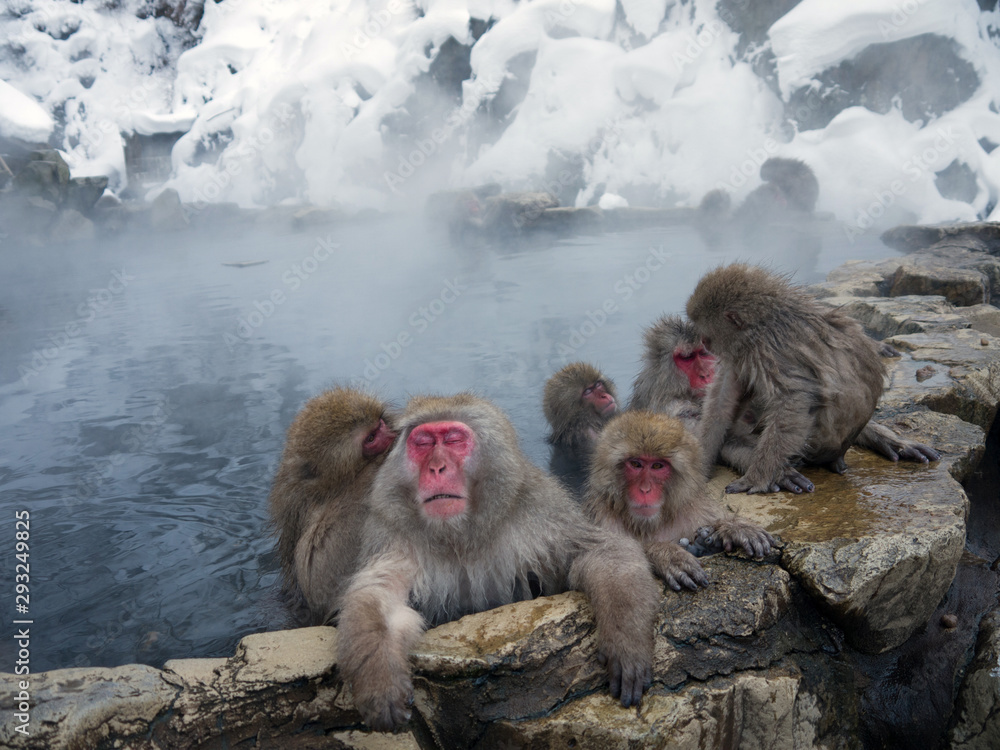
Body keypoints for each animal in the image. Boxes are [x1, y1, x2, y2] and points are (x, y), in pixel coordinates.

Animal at [267, 387, 397, 625]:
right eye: (371, 438)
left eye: (380, 423)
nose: (392, 435)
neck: (331, 486)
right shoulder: (305, 507)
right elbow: (314, 574)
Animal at [336, 393, 659, 731]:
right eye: (423, 443)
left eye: (453, 440)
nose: (436, 468)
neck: (460, 535)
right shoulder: (393, 533)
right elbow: (380, 596)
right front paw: (378, 680)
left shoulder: (540, 511)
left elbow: (597, 550)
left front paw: (626, 639)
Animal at [586, 410, 776, 591]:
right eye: (636, 464)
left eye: (657, 466)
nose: (645, 489)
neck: (650, 524)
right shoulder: (601, 516)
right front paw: (667, 554)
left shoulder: (696, 509)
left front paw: (733, 527)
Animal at [687, 264, 897, 494]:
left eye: (706, 335)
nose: (704, 343)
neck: (760, 325)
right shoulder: (739, 353)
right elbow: (723, 401)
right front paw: (702, 464)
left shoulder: (767, 351)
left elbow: (794, 399)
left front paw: (757, 478)